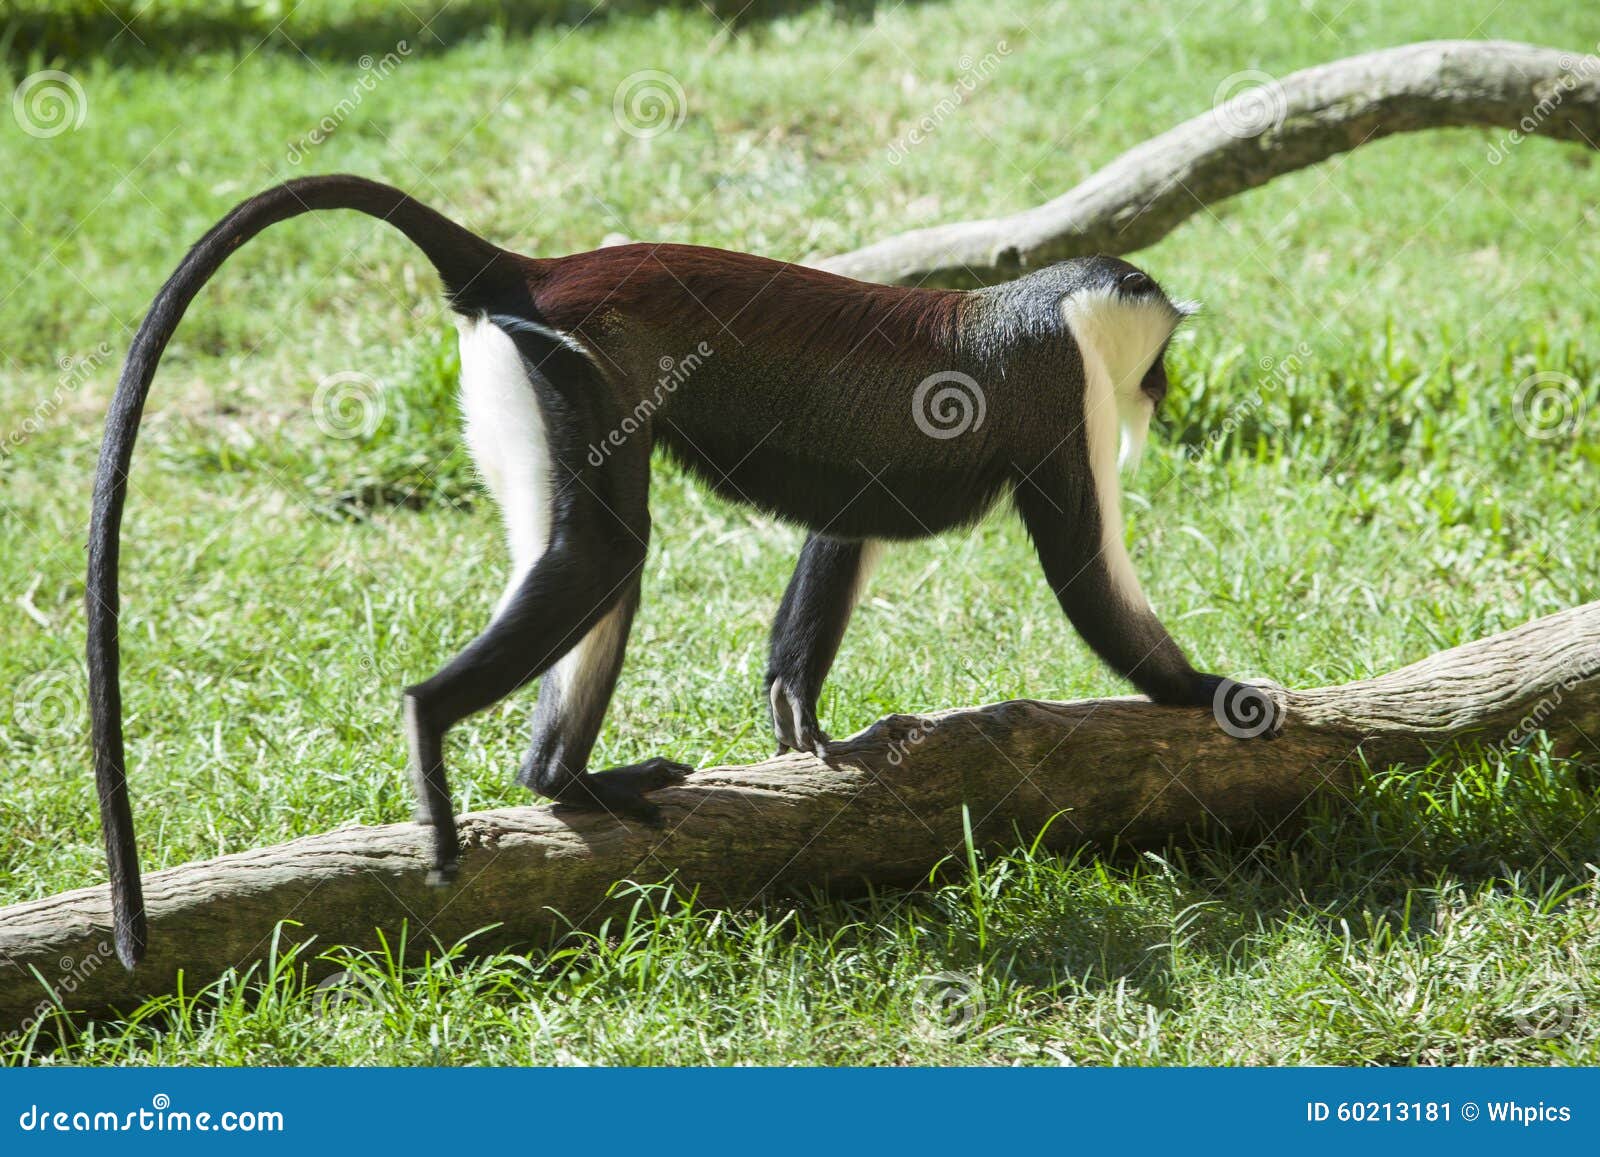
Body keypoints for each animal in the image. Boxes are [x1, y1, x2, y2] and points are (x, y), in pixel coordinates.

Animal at [88, 174, 1275, 970]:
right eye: (1160, 354)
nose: (1161, 391)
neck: (1038, 308)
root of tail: (537, 271)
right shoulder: (1058, 396)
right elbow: (1083, 571)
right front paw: (1213, 692)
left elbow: (849, 518)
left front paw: (805, 723)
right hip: (576, 374)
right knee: (611, 549)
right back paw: (441, 722)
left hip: (534, 385)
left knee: (603, 560)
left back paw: (561, 779)